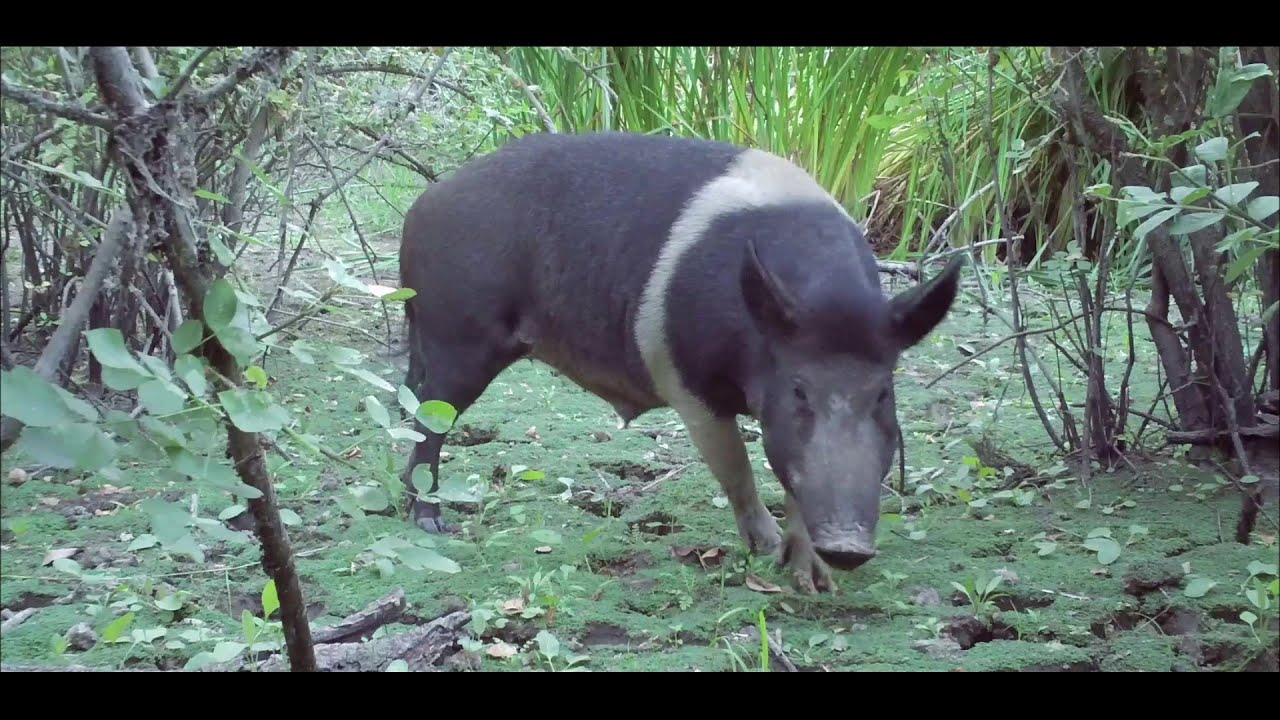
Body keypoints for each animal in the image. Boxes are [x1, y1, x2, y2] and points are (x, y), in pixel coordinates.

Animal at [396, 131, 961, 593]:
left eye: (883, 393)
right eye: (800, 389)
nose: (848, 546)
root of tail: (422, 203)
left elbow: (790, 474)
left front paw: (810, 581)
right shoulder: (685, 381)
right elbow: (736, 469)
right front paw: (764, 550)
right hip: (456, 334)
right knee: (428, 420)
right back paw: (432, 522)